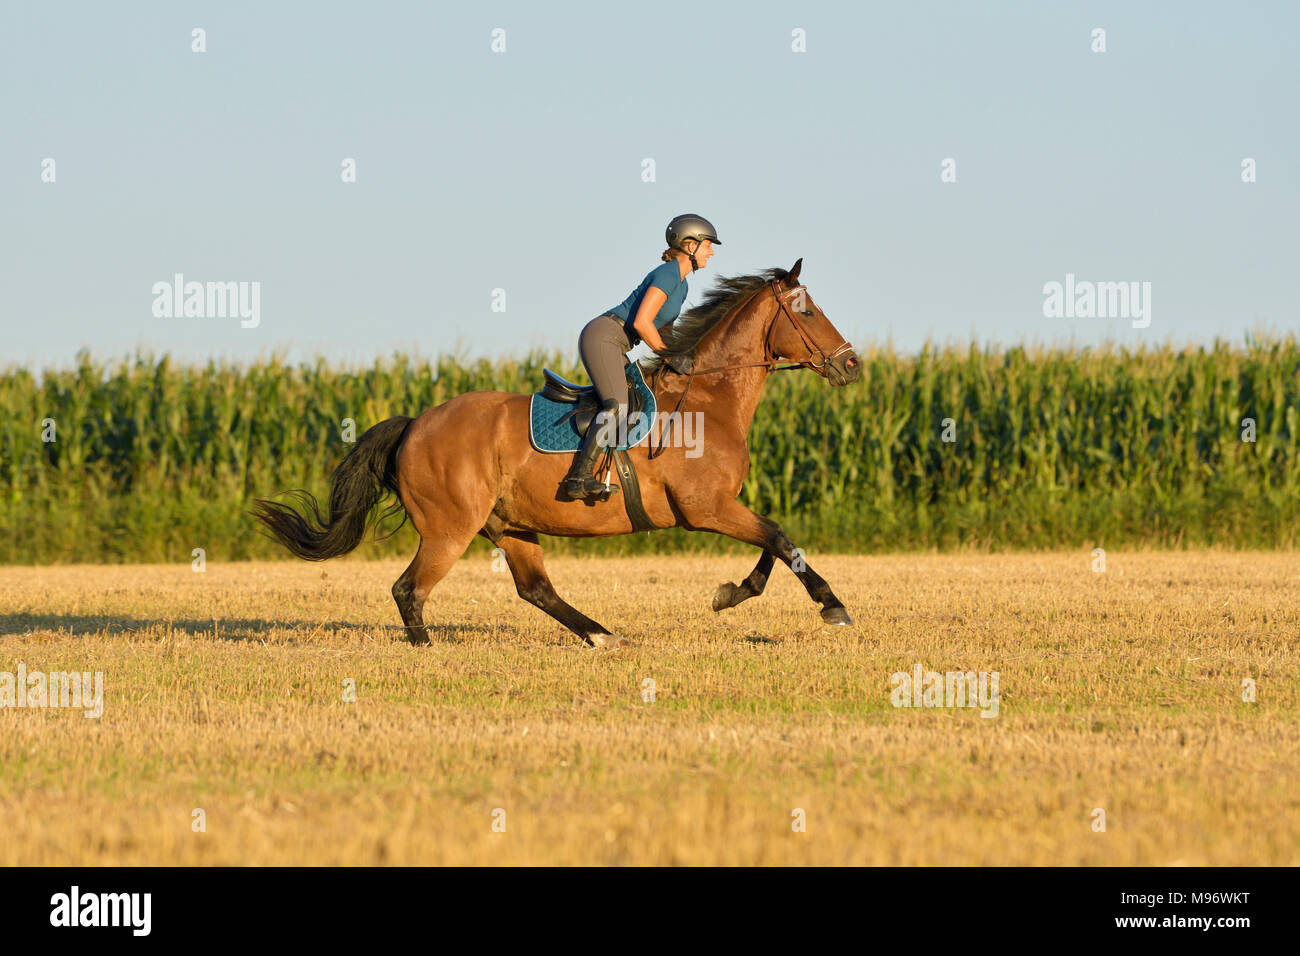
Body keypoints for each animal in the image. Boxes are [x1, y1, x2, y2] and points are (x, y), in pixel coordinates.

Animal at [252, 258, 861, 648]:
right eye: (808, 312)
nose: (852, 364)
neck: (710, 395)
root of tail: (414, 425)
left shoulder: (719, 509)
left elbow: (773, 542)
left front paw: (733, 593)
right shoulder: (706, 508)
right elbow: (780, 539)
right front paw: (831, 605)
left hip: (510, 525)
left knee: (535, 589)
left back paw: (602, 635)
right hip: (451, 528)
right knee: (410, 588)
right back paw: (426, 648)